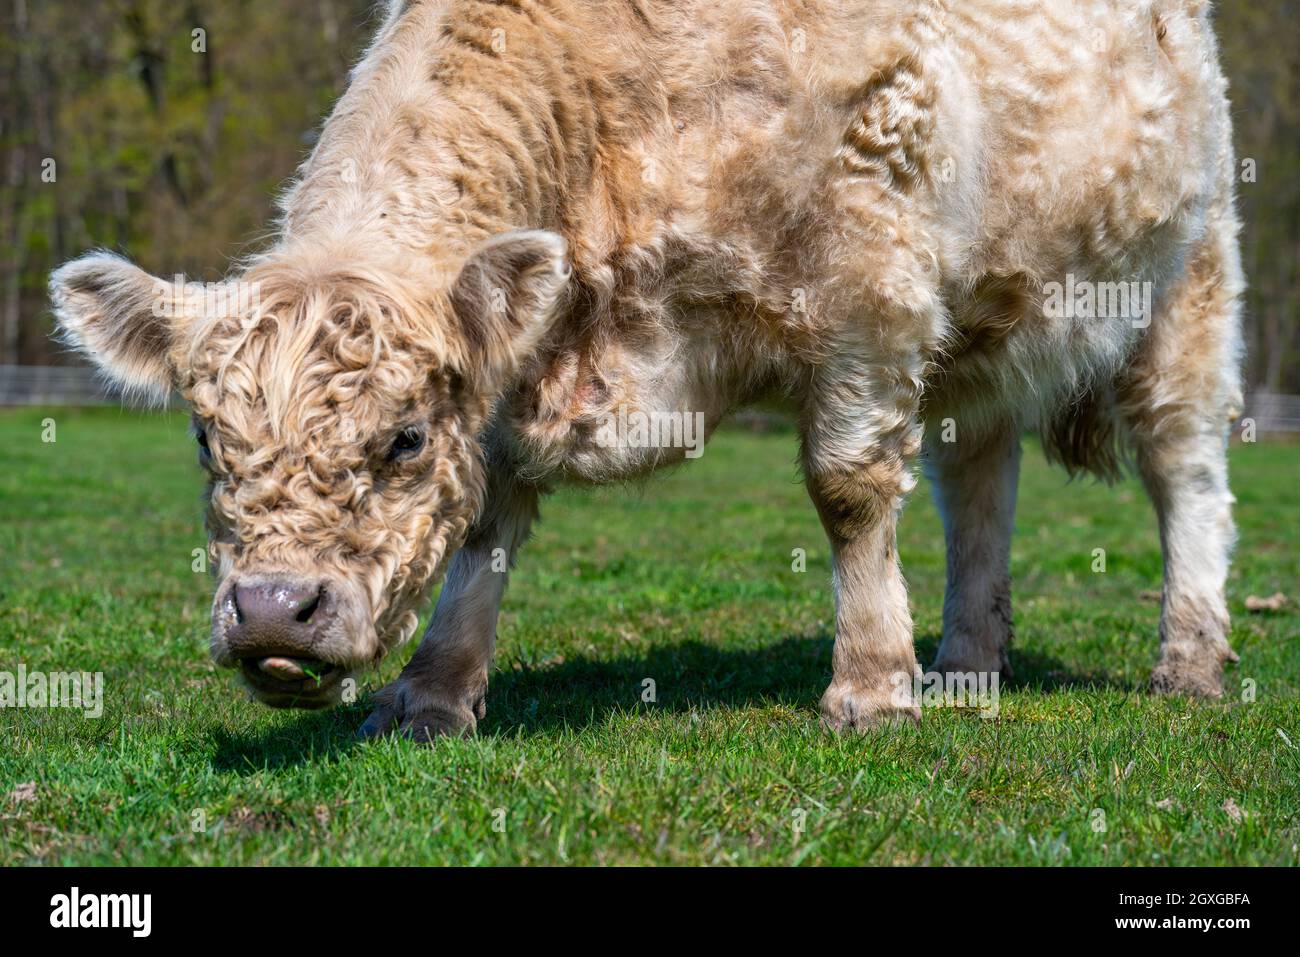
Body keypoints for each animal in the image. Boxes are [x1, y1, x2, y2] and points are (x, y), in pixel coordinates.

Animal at [50, 0, 1244, 738]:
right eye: (206, 439)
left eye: (402, 439)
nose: (270, 613)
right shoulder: (522, 358)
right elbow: (489, 520)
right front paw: (435, 693)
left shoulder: (867, 289)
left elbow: (850, 493)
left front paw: (868, 684)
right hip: (983, 331)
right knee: (979, 478)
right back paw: (964, 660)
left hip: (1188, 282)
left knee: (1184, 472)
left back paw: (1187, 661)